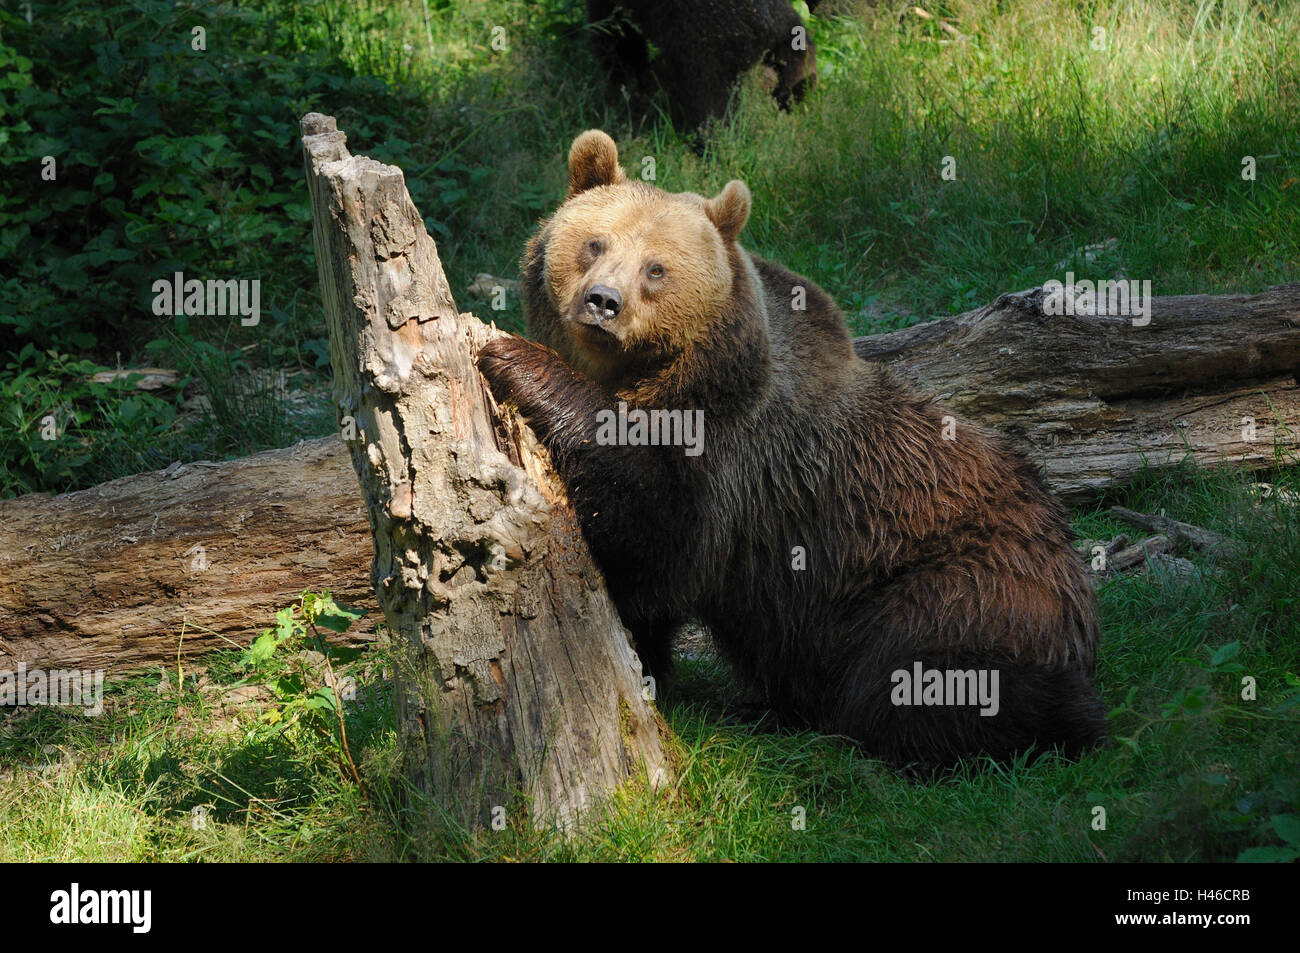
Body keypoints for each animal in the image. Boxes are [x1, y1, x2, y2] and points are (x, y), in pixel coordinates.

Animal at [477, 130, 1107, 771]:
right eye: (594, 243)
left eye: (656, 268)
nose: (603, 301)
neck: (650, 379)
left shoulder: (731, 454)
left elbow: (661, 532)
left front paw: (517, 359)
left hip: (961, 584)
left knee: (930, 677)